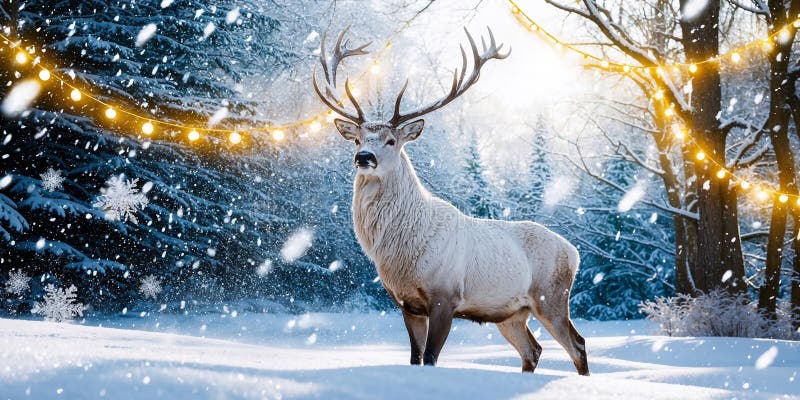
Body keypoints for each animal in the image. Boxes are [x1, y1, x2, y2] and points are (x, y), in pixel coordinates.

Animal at [312, 26, 589, 376]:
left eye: (391, 140)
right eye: (359, 139)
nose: (364, 157)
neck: (398, 251)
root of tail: (574, 252)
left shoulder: (446, 296)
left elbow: (431, 357)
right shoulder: (407, 304)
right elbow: (415, 358)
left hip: (551, 296)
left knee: (577, 344)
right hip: (512, 312)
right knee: (533, 350)